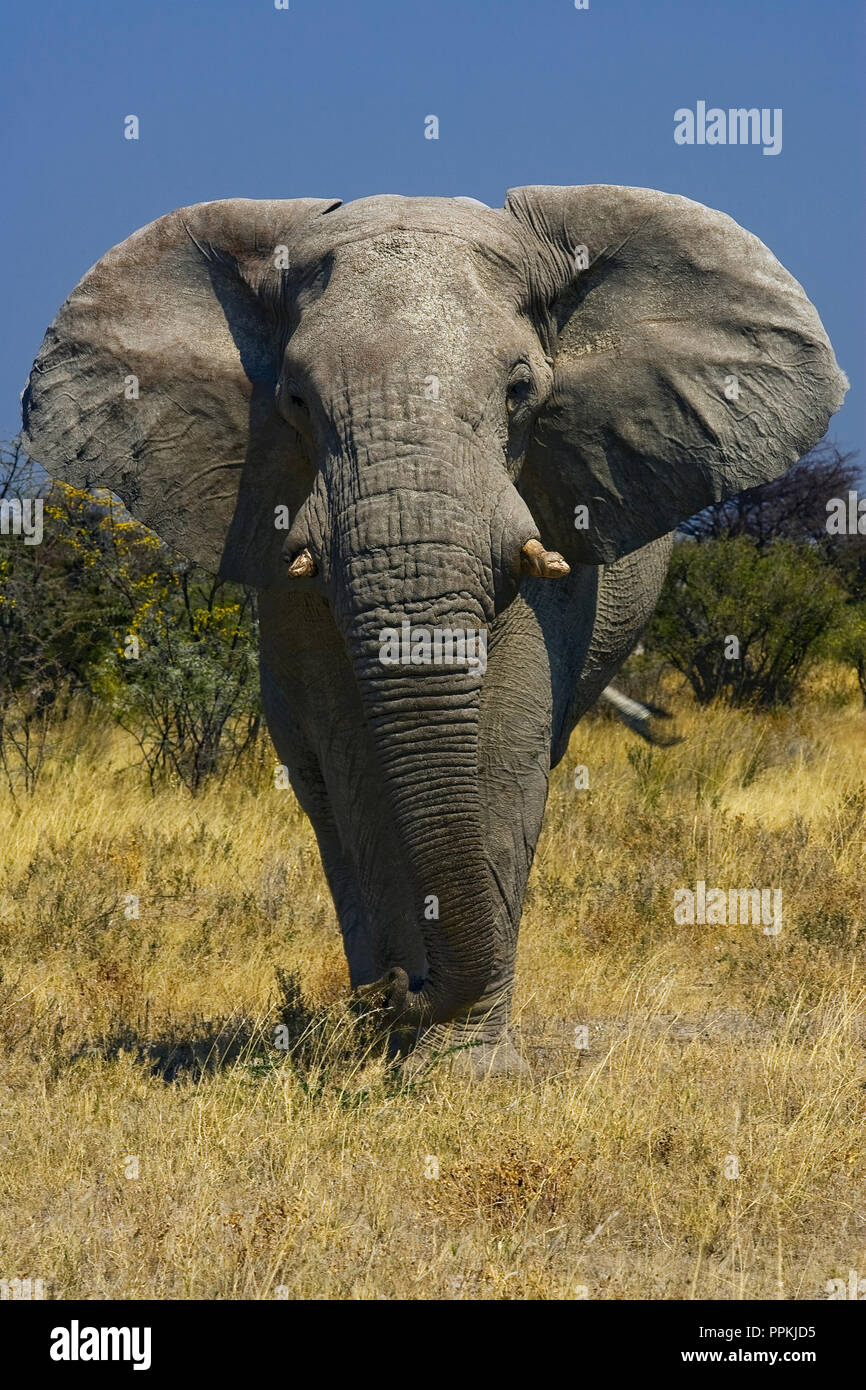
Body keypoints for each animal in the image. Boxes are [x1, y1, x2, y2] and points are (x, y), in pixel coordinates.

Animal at [22, 186, 846, 1075]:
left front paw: (465, 1064)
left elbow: (501, 750)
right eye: (296, 400)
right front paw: (403, 1039)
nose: (396, 993)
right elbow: (353, 757)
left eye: (520, 391)